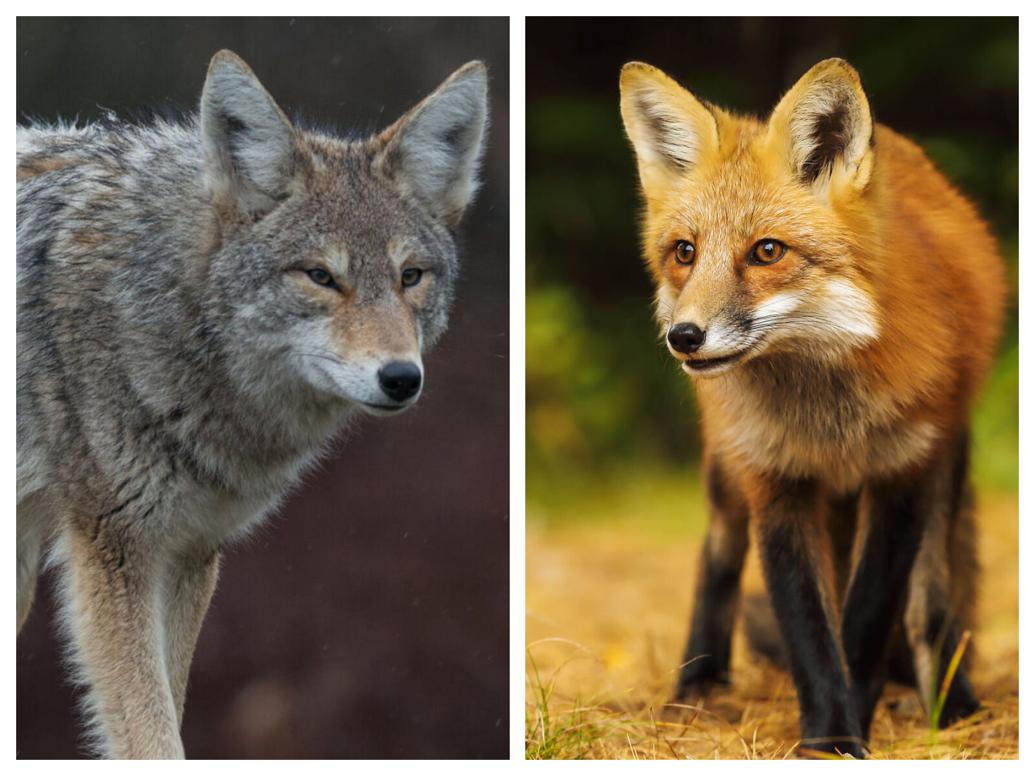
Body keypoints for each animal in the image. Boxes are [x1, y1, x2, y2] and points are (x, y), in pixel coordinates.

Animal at [17, 50, 488, 758]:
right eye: (320, 276)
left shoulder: (190, 553)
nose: (402, 378)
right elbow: (151, 735)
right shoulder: (115, 551)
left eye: (410, 277)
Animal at [619, 58, 1004, 757]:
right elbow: (806, 627)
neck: (828, 423)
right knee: (717, 559)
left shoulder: (901, 476)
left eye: (767, 251)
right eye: (685, 251)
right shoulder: (776, 479)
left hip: (948, 464)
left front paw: (852, 721)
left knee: (932, 600)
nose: (684, 337)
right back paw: (696, 687)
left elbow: (868, 620)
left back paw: (951, 702)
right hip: (725, 473)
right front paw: (829, 733)